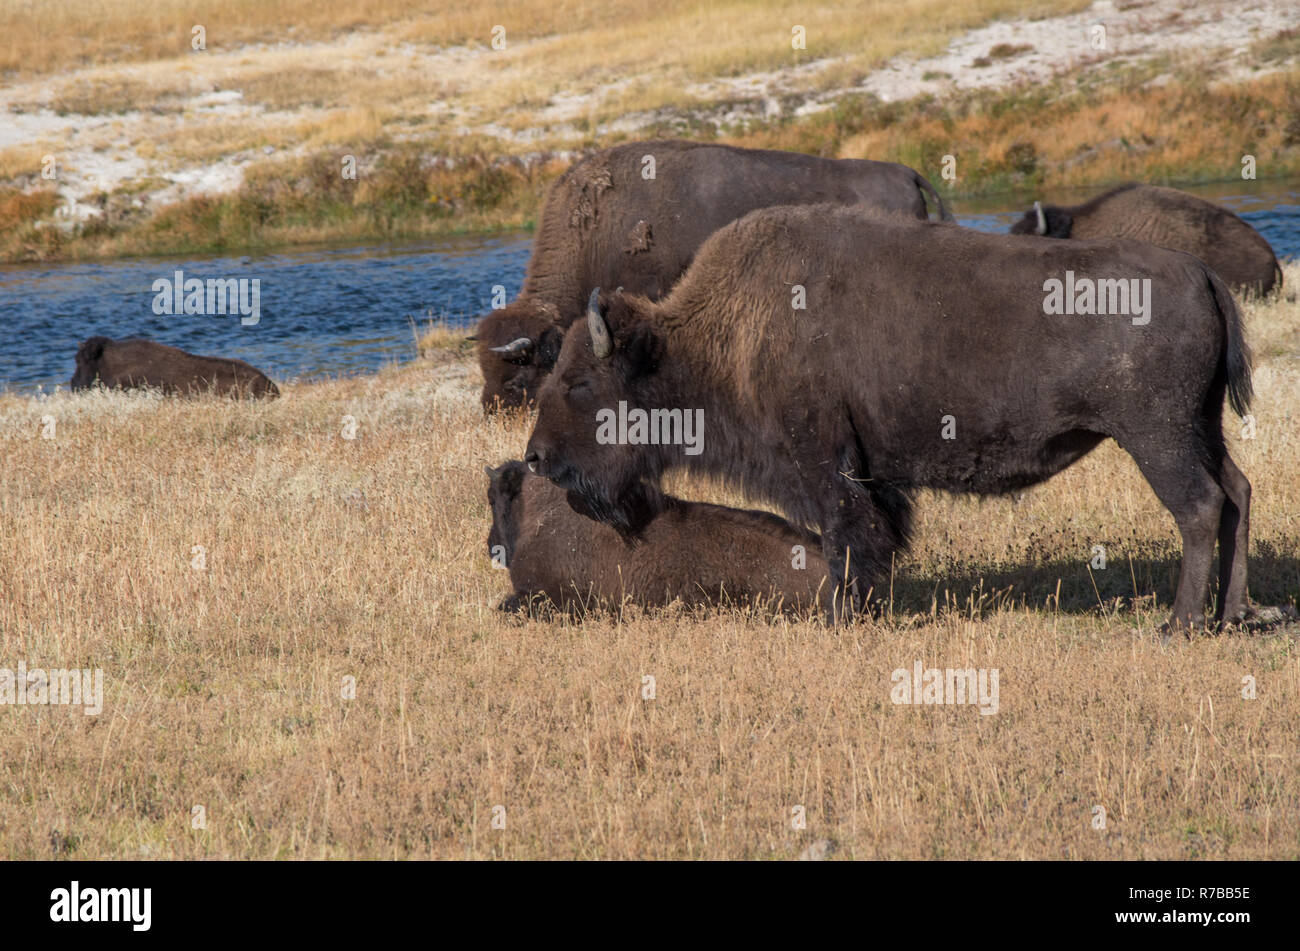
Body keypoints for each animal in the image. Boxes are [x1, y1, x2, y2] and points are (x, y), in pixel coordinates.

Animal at [524, 205, 1254, 634]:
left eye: (580, 382)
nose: (536, 457)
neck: (722, 333)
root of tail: (1203, 275)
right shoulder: (870, 475)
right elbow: (870, 536)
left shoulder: (825, 464)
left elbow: (849, 538)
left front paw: (843, 618)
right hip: (1201, 428)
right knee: (1237, 494)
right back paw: (1232, 613)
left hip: (1158, 438)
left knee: (1199, 507)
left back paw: (1180, 624)